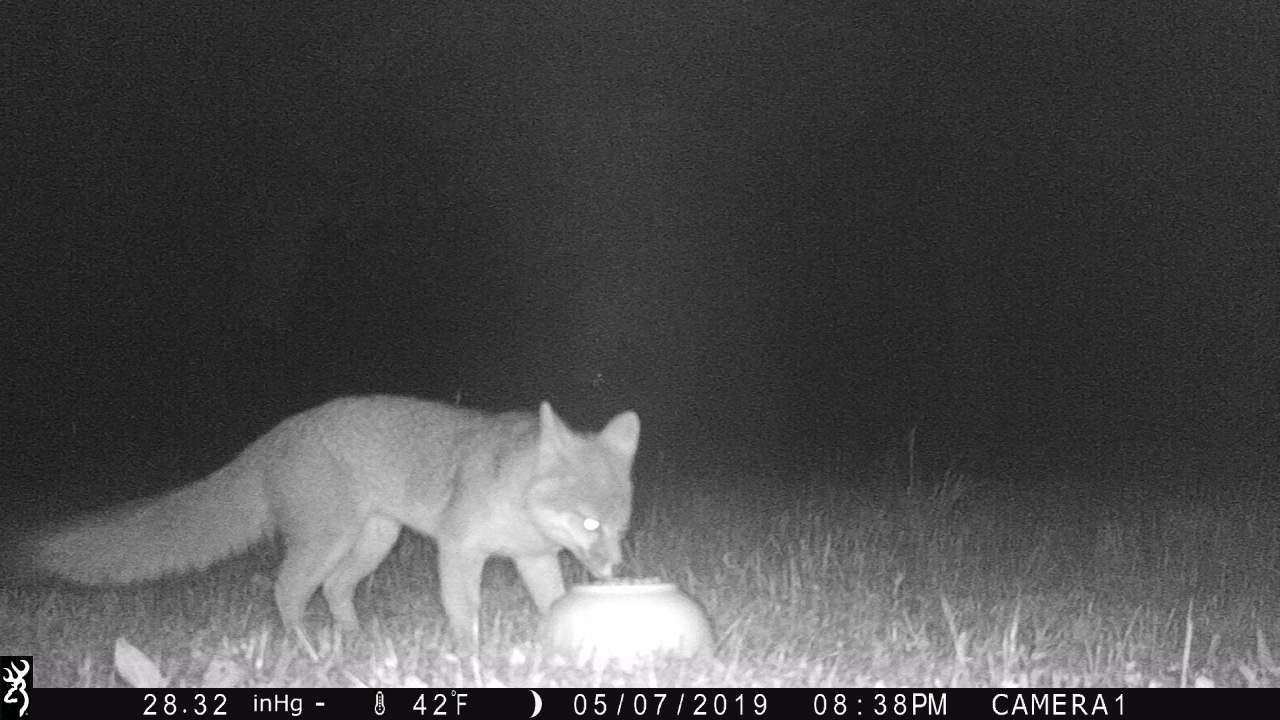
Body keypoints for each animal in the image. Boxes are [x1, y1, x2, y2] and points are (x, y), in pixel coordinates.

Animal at [10, 395, 640, 648]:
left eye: (618, 529)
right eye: (589, 526)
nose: (615, 571)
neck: (516, 498)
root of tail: (274, 435)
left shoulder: (535, 559)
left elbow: (552, 603)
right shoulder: (459, 551)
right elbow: (465, 611)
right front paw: (471, 656)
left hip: (371, 542)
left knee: (334, 589)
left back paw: (352, 639)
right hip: (328, 542)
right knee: (286, 589)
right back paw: (306, 647)